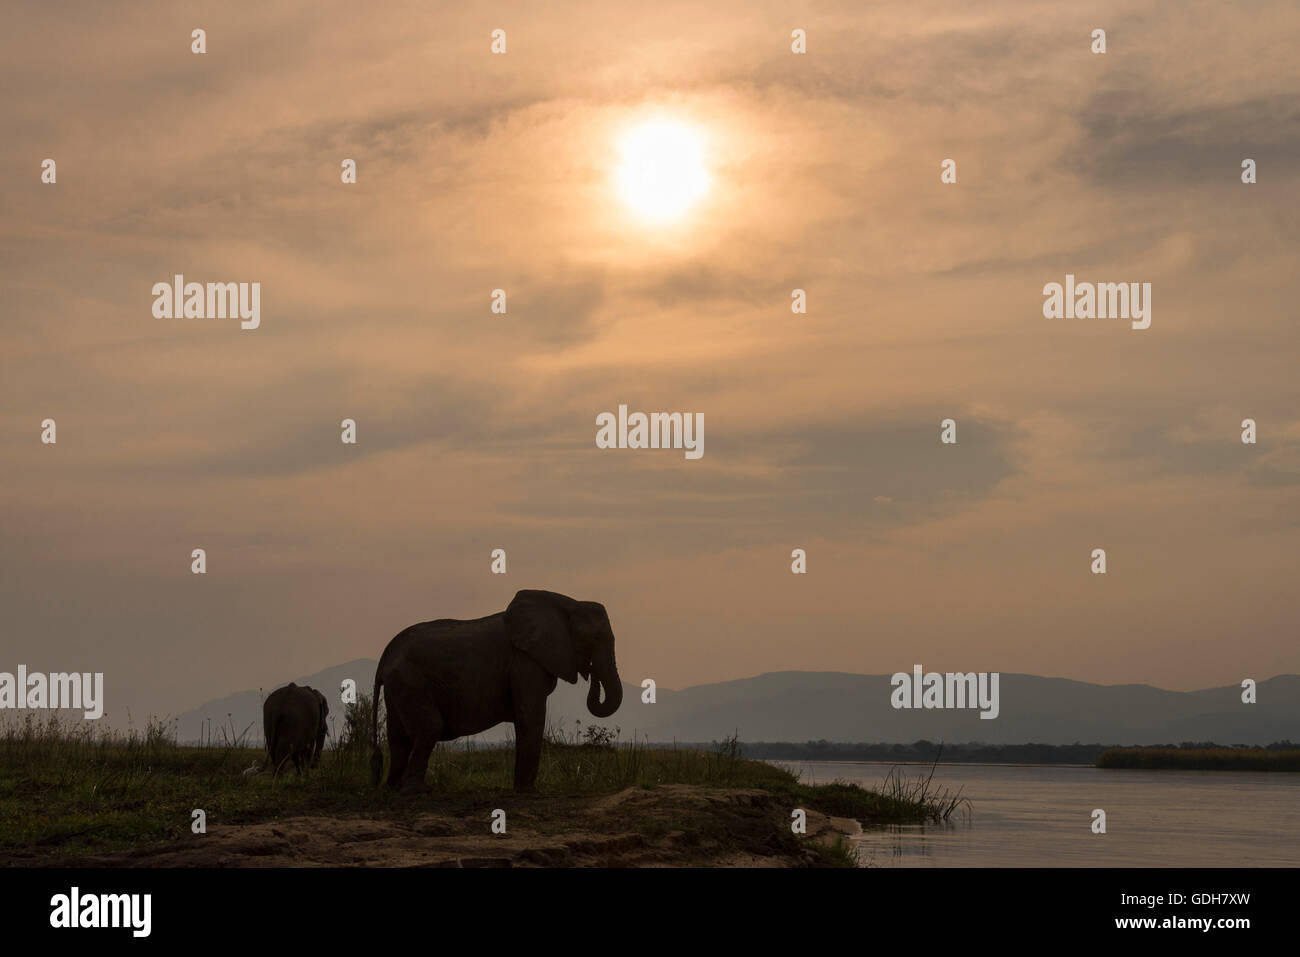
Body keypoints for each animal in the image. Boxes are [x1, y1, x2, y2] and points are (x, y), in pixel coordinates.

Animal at [369, 589, 623, 793]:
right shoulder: (524, 660)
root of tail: (386, 656)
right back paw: (417, 790)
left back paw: (392, 788)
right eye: (594, 639)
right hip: (411, 681)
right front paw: (526, 791)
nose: (590, 672)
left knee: (398, 737)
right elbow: (530, 717)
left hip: (399, 685)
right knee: (429, 728)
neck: (567, 603)